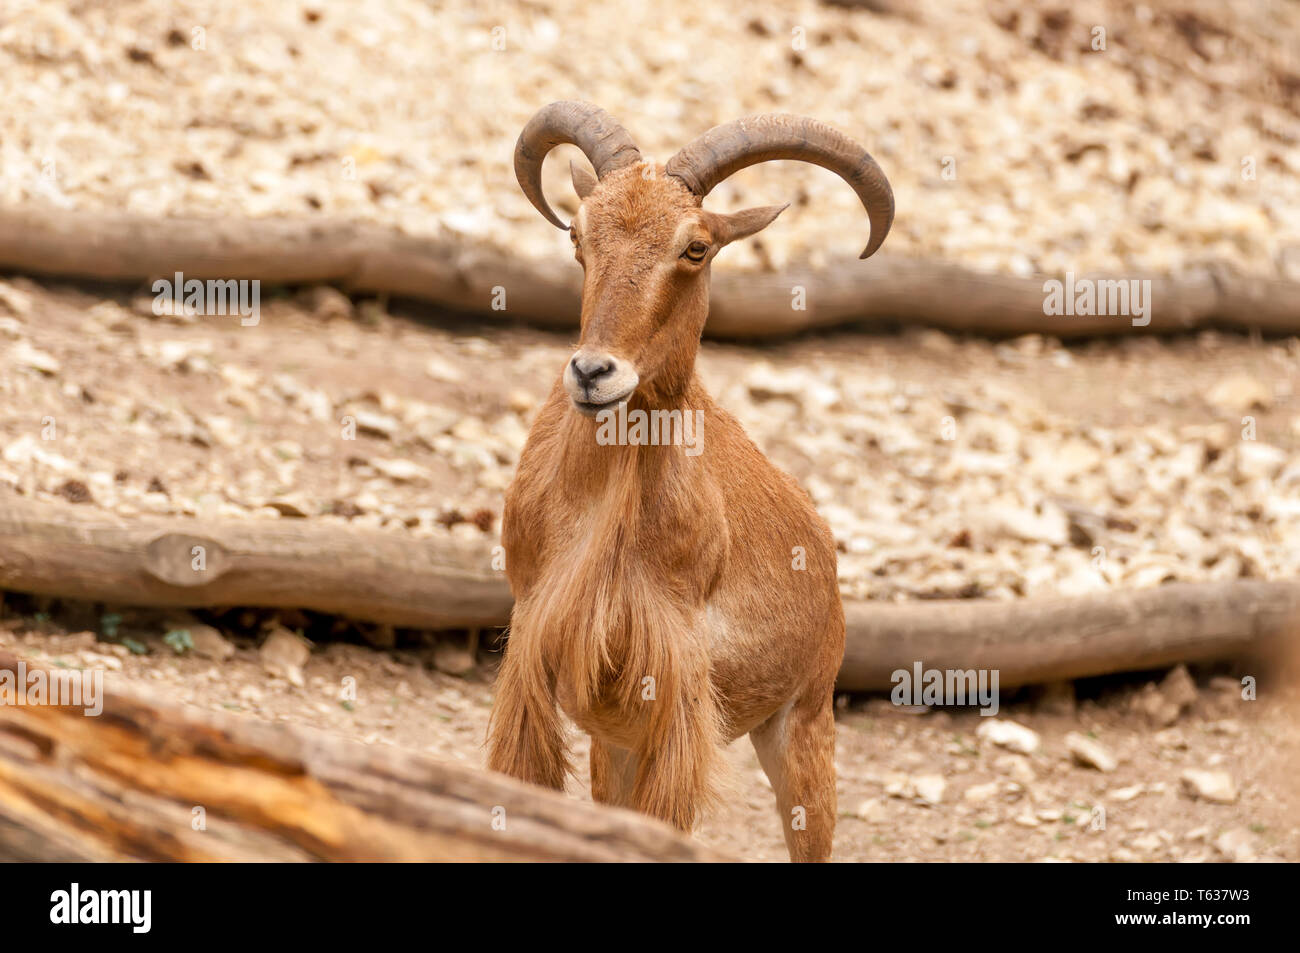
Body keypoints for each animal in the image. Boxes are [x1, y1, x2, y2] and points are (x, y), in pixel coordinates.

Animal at [487, 101, 893, 861]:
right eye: (579, 236)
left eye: (696, 247)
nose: (593, 372)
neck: (605, 511)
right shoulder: (536, 669)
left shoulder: (674, 710)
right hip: (615, 743)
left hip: (803, 722)